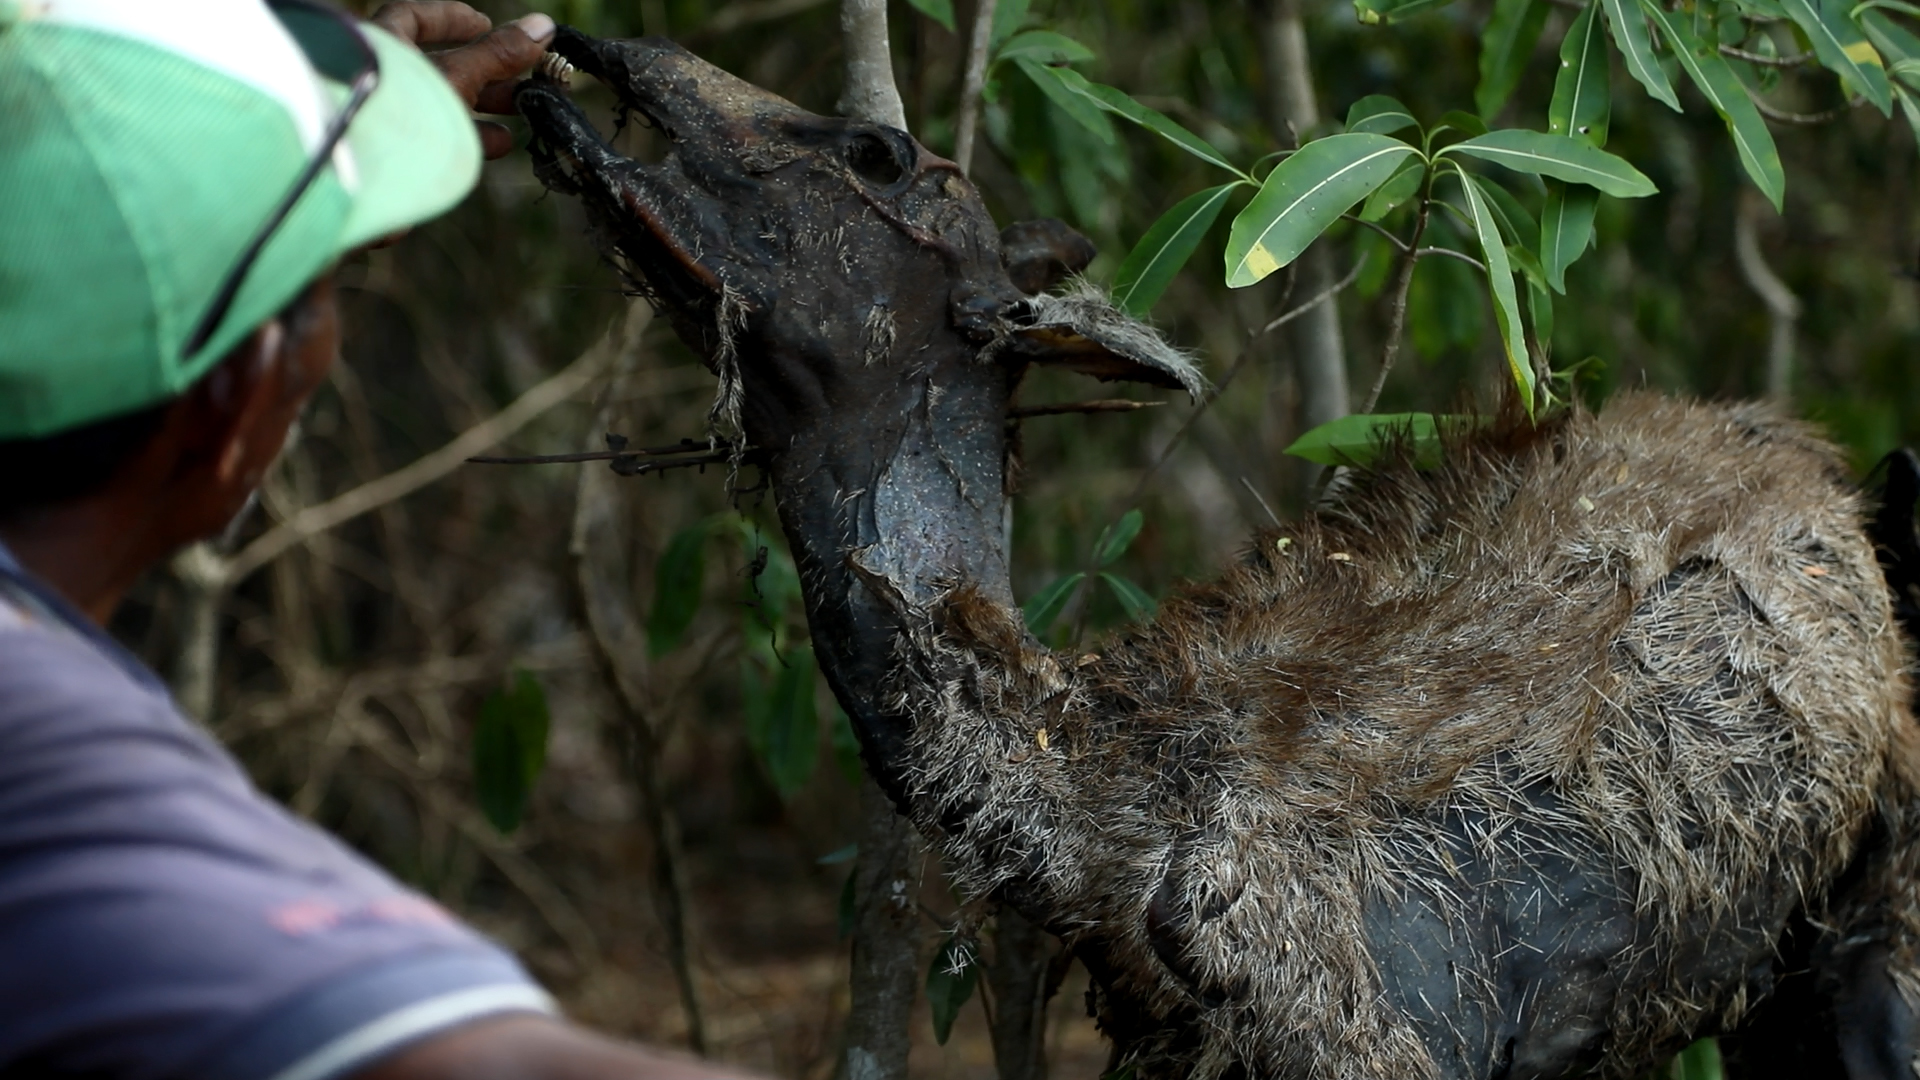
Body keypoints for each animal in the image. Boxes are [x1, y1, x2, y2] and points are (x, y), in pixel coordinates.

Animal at [515, 31, 1920, 1080]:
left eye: (879, 151)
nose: (600, 50)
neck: (1090, 812)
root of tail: (1824, 465)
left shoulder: (1387, 1043)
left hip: (1873, 944)